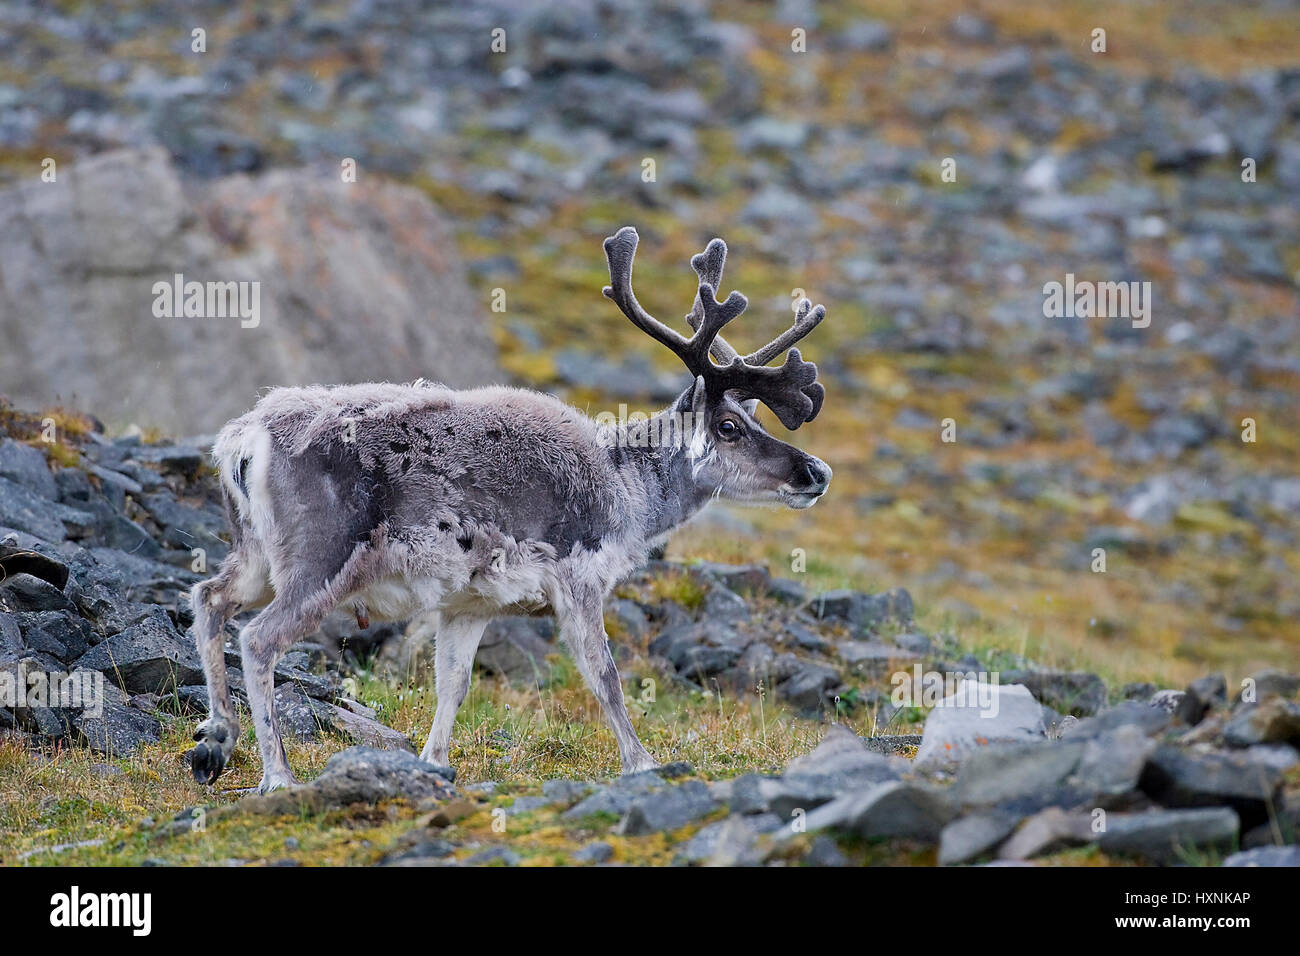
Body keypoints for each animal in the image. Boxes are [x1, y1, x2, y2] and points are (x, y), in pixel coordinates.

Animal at [187, 226, 831, 792]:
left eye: (753, 417)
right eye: (728, 427)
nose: (817, 472)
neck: (626, 492)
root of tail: (244, 439)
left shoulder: (467, 605)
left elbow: (453, 683)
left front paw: (434, 763)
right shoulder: (578, 579)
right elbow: (605, 677)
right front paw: (643, 762)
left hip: (256, 556)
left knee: (209, 597)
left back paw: (216, 739)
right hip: (319, 561)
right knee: (258, 639)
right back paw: (277, 775)